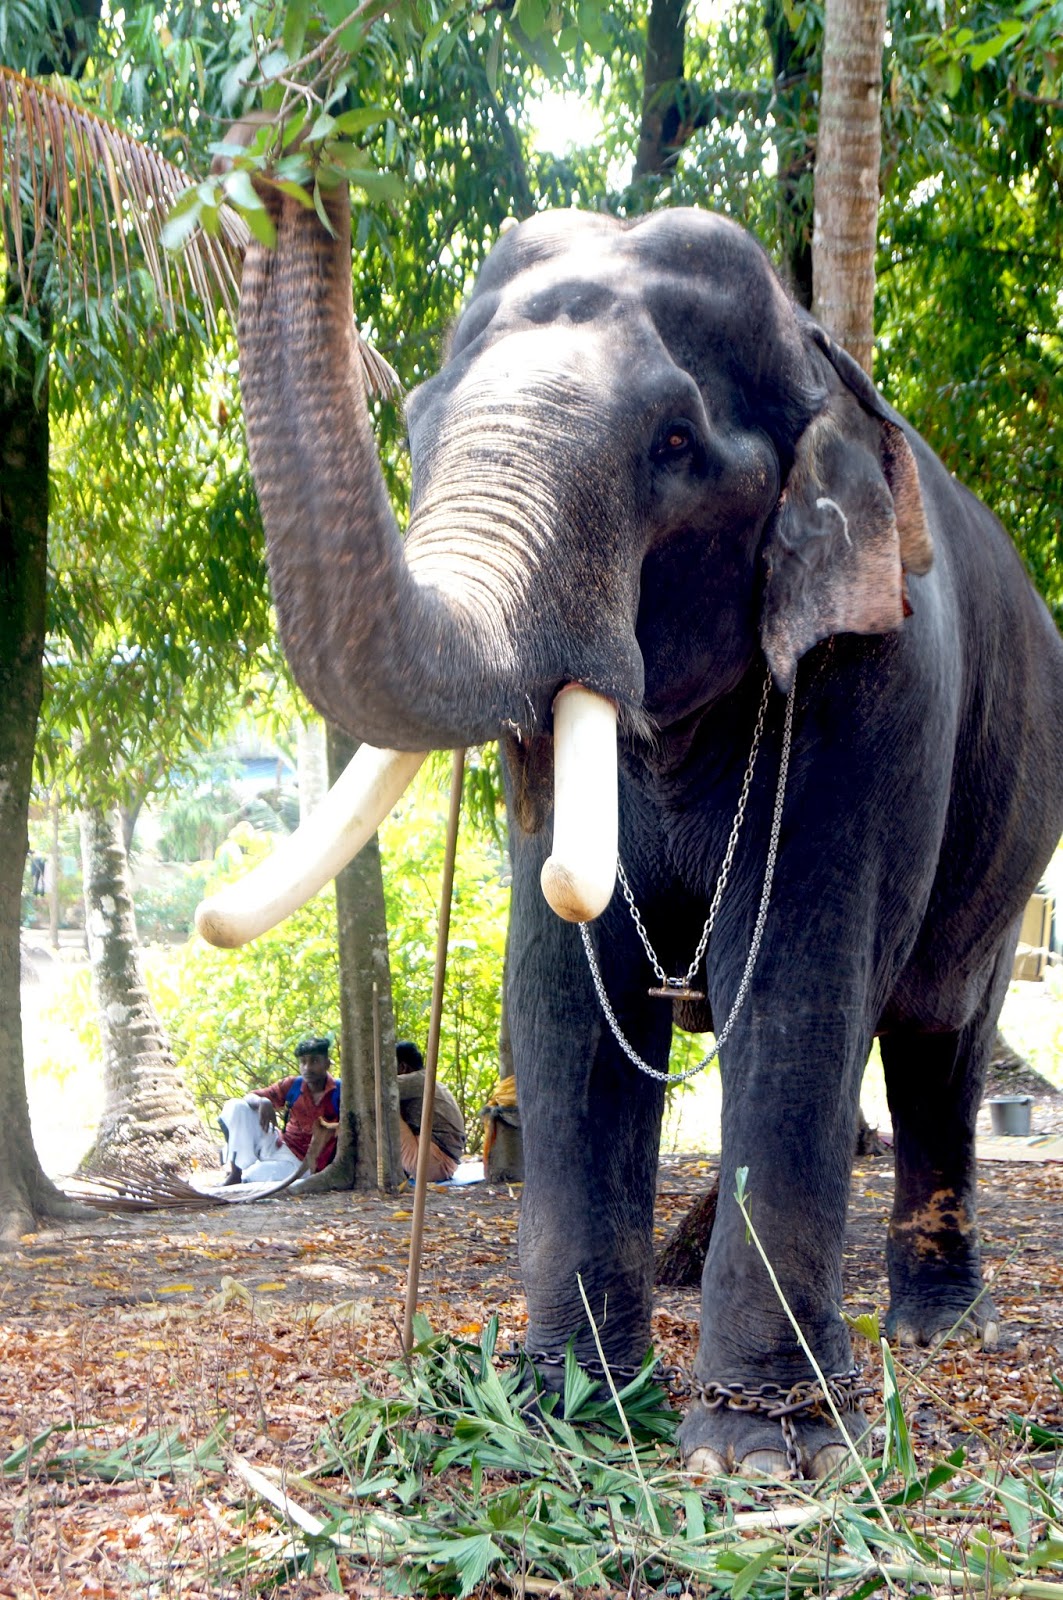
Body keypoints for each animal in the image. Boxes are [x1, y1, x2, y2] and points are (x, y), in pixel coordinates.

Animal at [198, 182, 1063, 1479]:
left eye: (672, 445)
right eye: (416, 424)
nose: (300, 173)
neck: (813, 347)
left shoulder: (879, 681)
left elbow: (796, 981)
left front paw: (756, 1454)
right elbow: (562, 992)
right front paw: (563, 1409)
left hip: (1013, 844)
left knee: (940, 1039)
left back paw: (940, 1328)